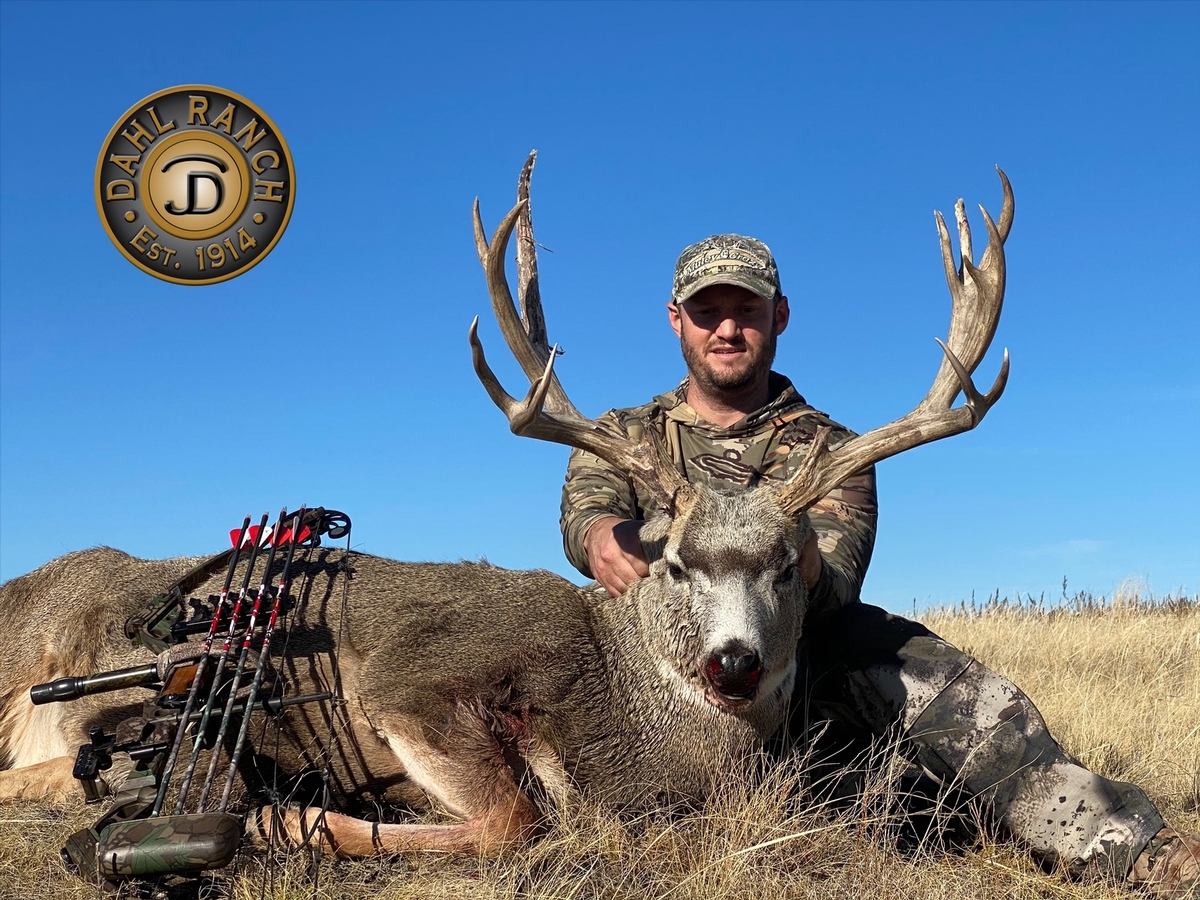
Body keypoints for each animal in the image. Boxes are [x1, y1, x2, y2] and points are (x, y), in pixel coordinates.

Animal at [0, 155, 1011, 866]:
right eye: (675, 562)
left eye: (788, 564)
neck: (637, 714)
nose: (733, 663)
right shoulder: (410, 680)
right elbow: (511, 818)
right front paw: (291, 821)